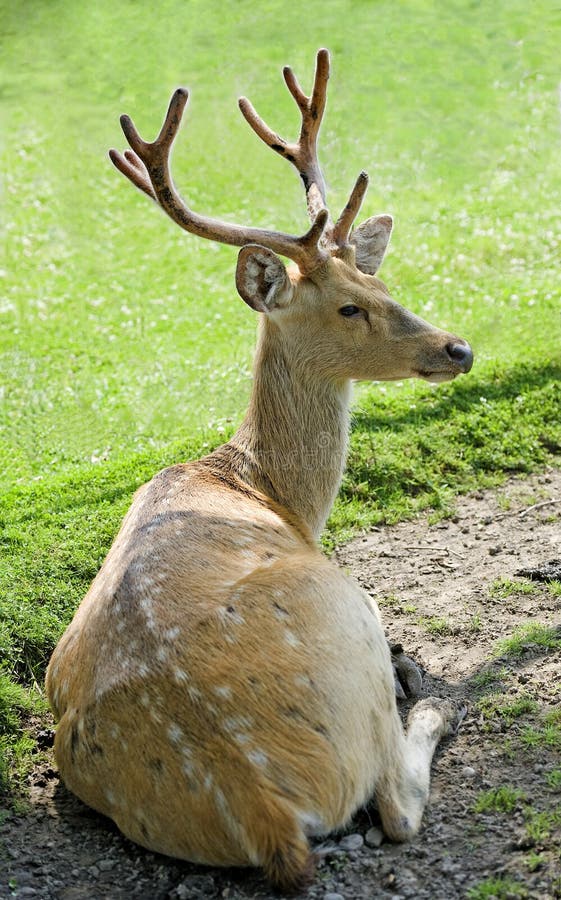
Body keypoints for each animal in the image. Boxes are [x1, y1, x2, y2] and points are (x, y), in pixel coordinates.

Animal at [46, 50, 473, 892]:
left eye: (381, 284)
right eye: (347, 309)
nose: (457, 348)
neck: (269, 491)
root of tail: (267, 811)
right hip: (345, 616)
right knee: (394, 807)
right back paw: (428, 704)